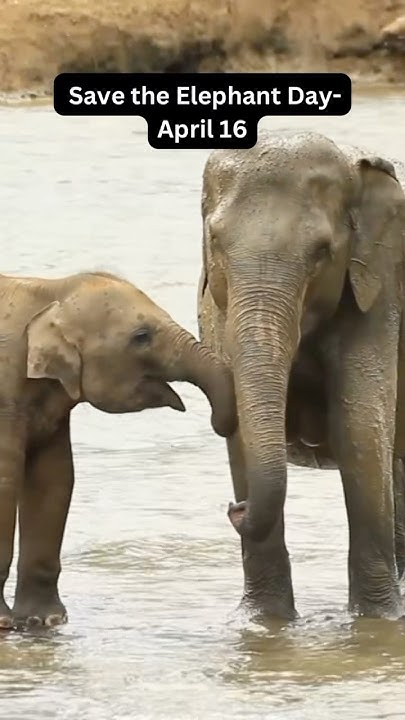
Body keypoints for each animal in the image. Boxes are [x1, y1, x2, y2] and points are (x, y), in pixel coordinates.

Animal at [0, 269, 237, 630]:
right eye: (141, 336)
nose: (220, 424)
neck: (51, 290)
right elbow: (6, 481)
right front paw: (5, 623)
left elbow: (55, 479)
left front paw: (47, 620)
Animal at [197, 129, 405, 621]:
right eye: (215, 240)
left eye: (322, 252)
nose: (235, 507)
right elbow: (241, 437)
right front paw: (264, 623)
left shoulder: (381, 289)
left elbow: (360, 428)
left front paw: (377, 622)